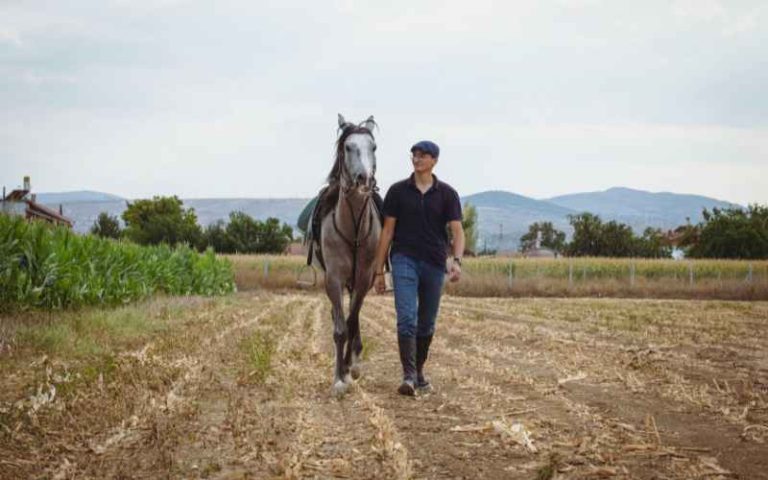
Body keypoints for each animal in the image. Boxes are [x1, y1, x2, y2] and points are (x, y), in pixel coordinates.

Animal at [309, 114, 382, 397]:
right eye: (348, 147)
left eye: (373, 147)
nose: (364, 180)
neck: (353, 229)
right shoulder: (334, 279)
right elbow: (340, 329)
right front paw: (338, 379)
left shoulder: (363, 279)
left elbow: (351, 322)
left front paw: (351, 369)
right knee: (338, 317)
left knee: (354, 317)